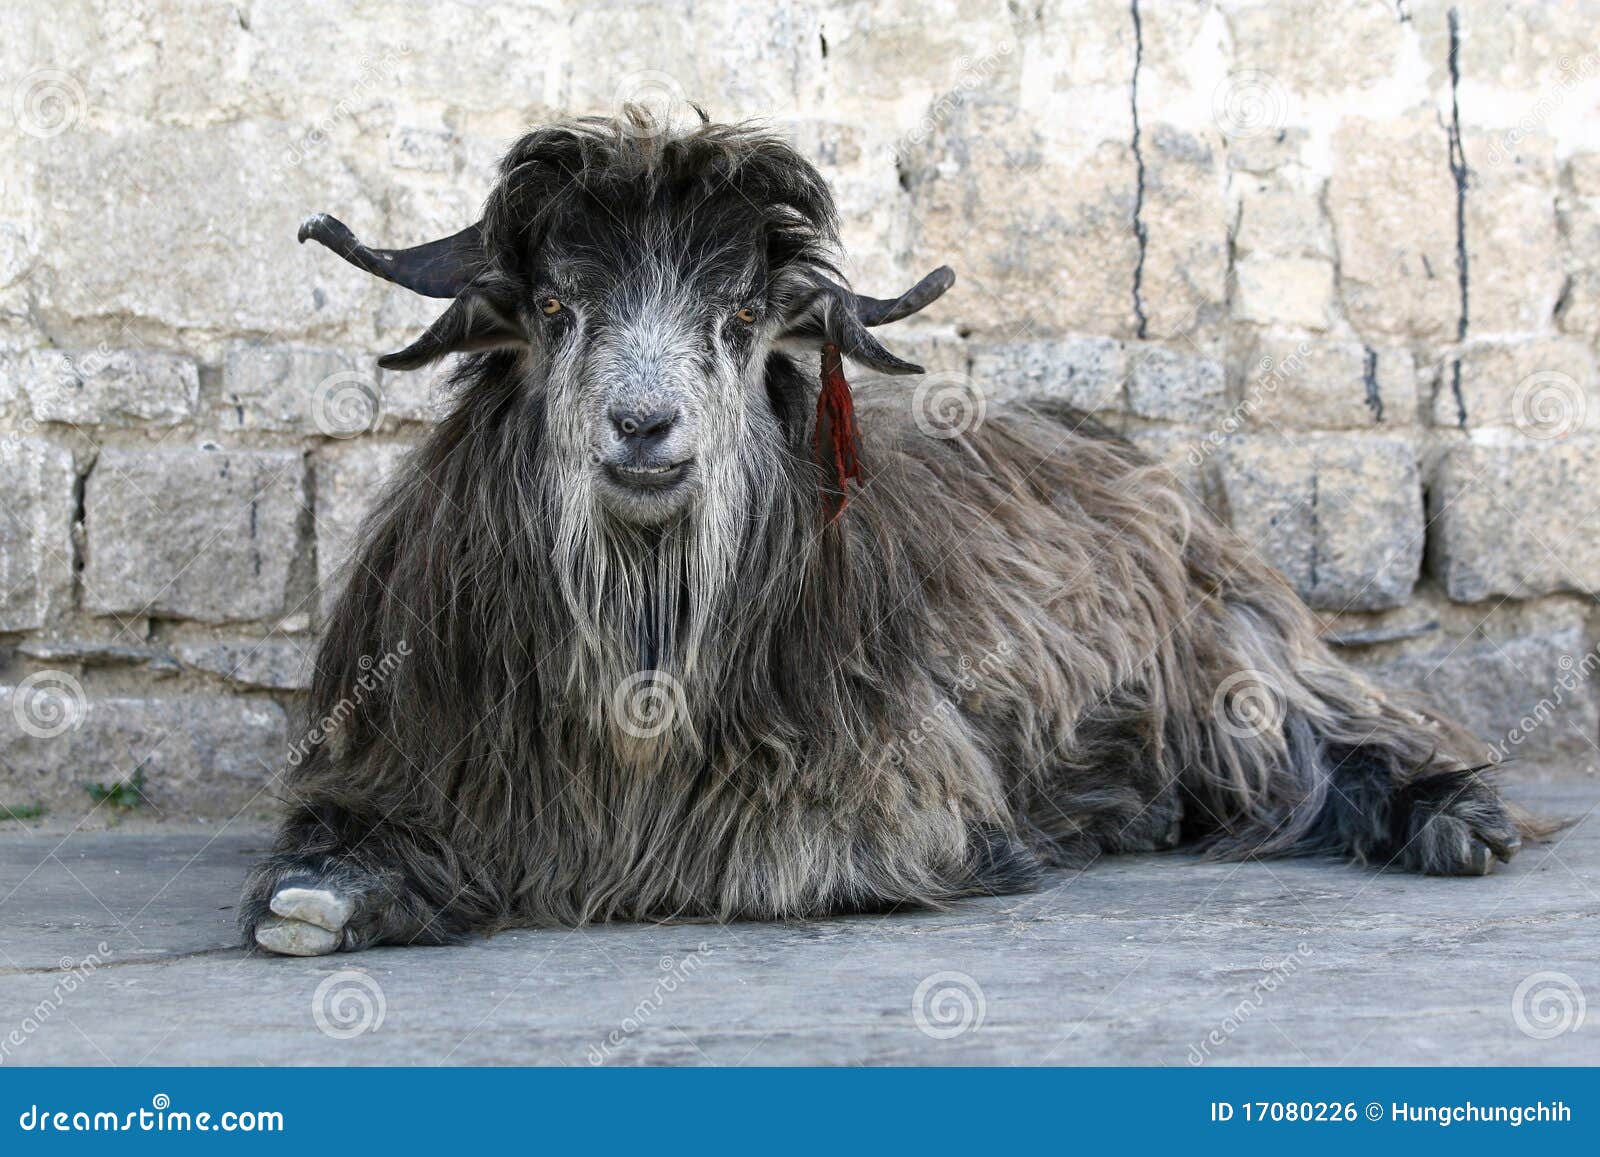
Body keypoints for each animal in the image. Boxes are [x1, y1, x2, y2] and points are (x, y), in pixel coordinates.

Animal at [244, 112, 1528, 955]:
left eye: (740, 315)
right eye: (557, 307)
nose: (645, 427)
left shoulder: (897, 782)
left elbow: (782, 855)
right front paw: (330, 895)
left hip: (1232, 659)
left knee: (1335, 732)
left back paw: (1452, 817)